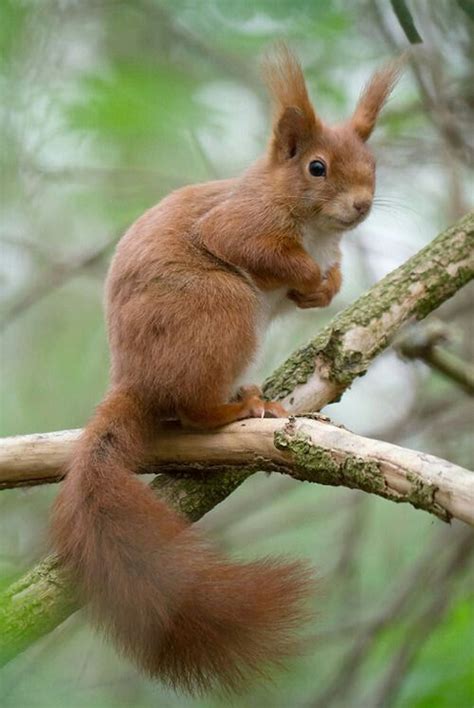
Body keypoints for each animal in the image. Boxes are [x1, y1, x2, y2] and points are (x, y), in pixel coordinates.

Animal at [52, 45, 400, 694]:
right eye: (316, 167)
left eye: (373, 164)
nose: (363, 205)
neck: (314, 229)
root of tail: (132, 383)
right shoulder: (239, 219)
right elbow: (246, 244)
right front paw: (309, 274)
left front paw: (325, 287)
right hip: (224, 308)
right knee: (190, 411)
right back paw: (239, 407)